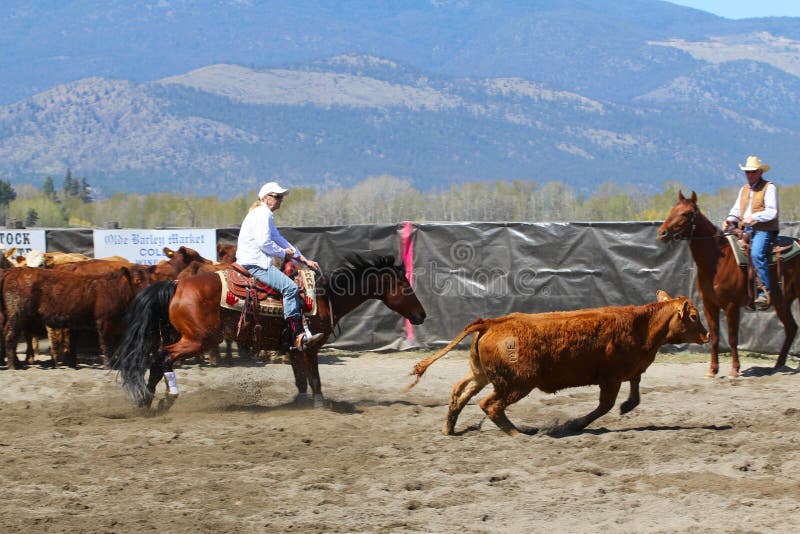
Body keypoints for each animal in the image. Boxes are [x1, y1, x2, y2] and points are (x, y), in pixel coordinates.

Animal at [110, 255, 427, 408]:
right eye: (405, 286)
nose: (422, 315)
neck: (325, 296)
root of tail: (176, 284)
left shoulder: (293, 348)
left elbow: (301, 381)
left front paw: (300, 403)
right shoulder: (310, 347)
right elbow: (315, 379)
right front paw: (320, 404)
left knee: (155, 360)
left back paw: (146, 401)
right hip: (198, 339)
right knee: (162, 357)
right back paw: (167, 398)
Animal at [658, 191, 800, 377]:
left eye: (686, 213)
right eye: (673, 209)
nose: (662, 233)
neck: (716, 262)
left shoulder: (731, 306)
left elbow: (732, 338)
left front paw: (734, 369)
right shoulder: (709, 305)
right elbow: (714, 336)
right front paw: (713, 369)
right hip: (781, 301)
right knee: (791, 328)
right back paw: (779, 364)